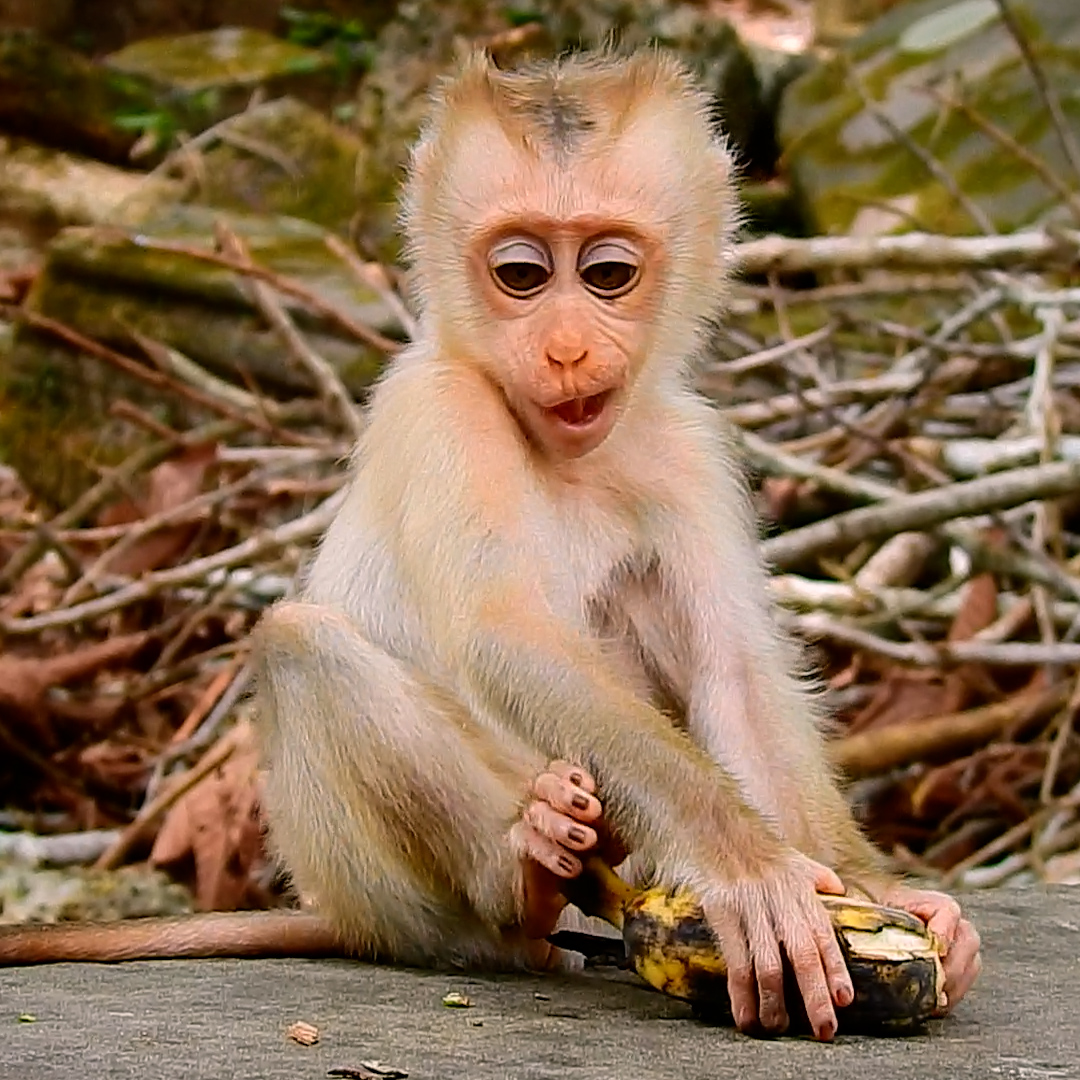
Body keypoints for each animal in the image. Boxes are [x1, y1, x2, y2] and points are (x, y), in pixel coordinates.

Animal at [0, 50, 980, 1041]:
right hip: (370, 882)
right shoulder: (442, 408)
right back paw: (525, 876)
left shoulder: (689, 449)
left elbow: (734, 678)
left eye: (607, 273)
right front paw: (749, 866)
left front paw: (879, 888)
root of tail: (338, 910)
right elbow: (503, 631)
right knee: (301, 646)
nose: (565, 350)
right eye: (520, 273)